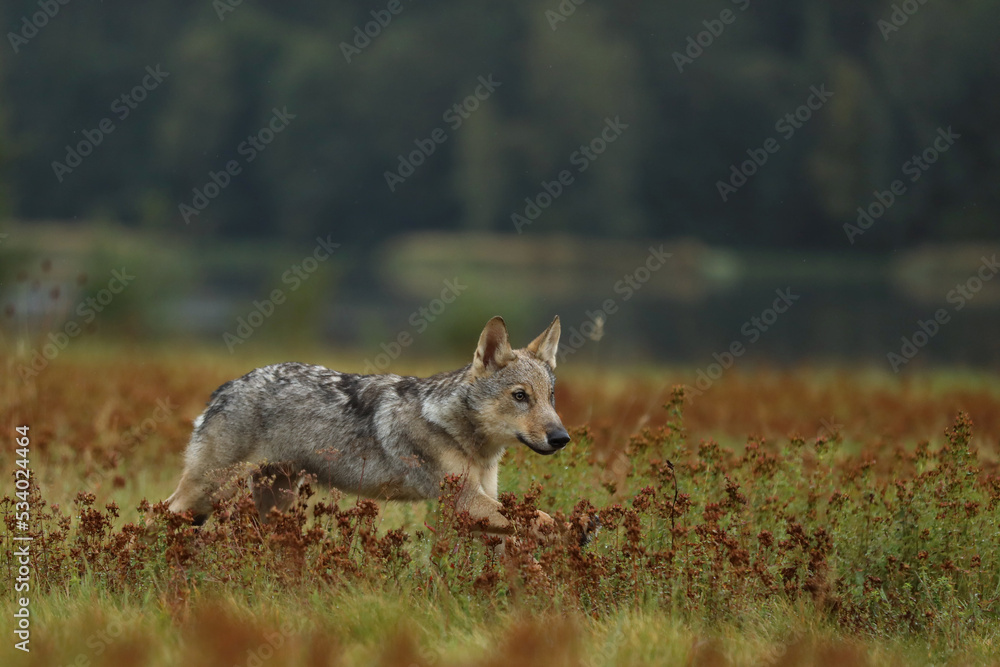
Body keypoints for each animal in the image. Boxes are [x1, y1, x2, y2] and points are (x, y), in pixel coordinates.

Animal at [163, 316, 570, 538]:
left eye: (550, 397)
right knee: (159, 512)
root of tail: (225, 388)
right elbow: (544, 517)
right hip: (208, 492)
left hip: (272, 502)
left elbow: (526, 524)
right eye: (520, 396)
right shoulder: (466, 501)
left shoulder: (479, 499)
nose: (561, 438)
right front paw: (573, 531)